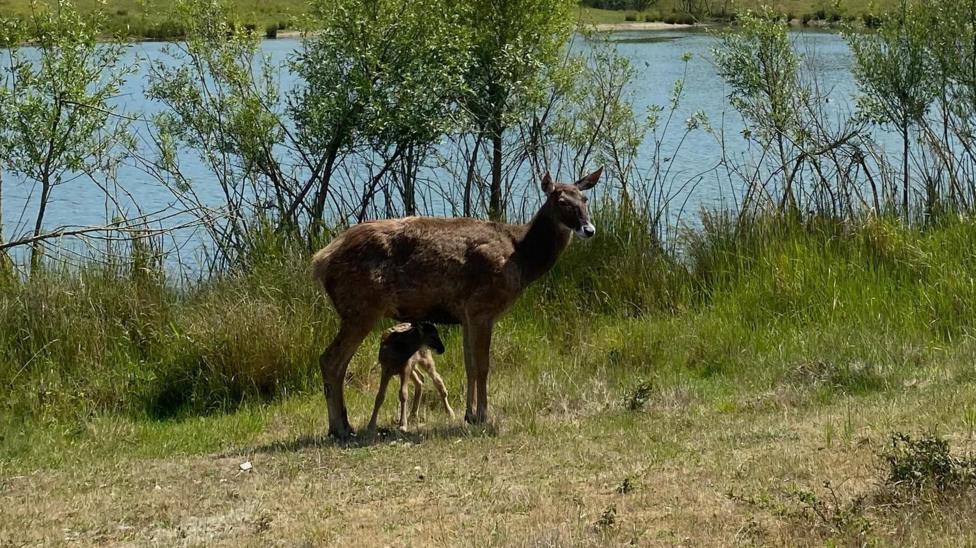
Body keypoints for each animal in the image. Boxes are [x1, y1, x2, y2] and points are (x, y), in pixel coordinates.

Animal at [312, 167, 601, 438]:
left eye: (585, 198)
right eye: (561, 201)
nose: (589, 230)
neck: (521, 258)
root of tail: (320, 261)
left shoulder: (465, 314)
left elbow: (469, 365)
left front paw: (469, 415)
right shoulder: (482, 306)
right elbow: (483, 366)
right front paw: (484, 415)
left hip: (357, 310)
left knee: (336, 362)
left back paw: (344, 425)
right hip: (361, 307)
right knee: (331, 360)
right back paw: (339, 428)